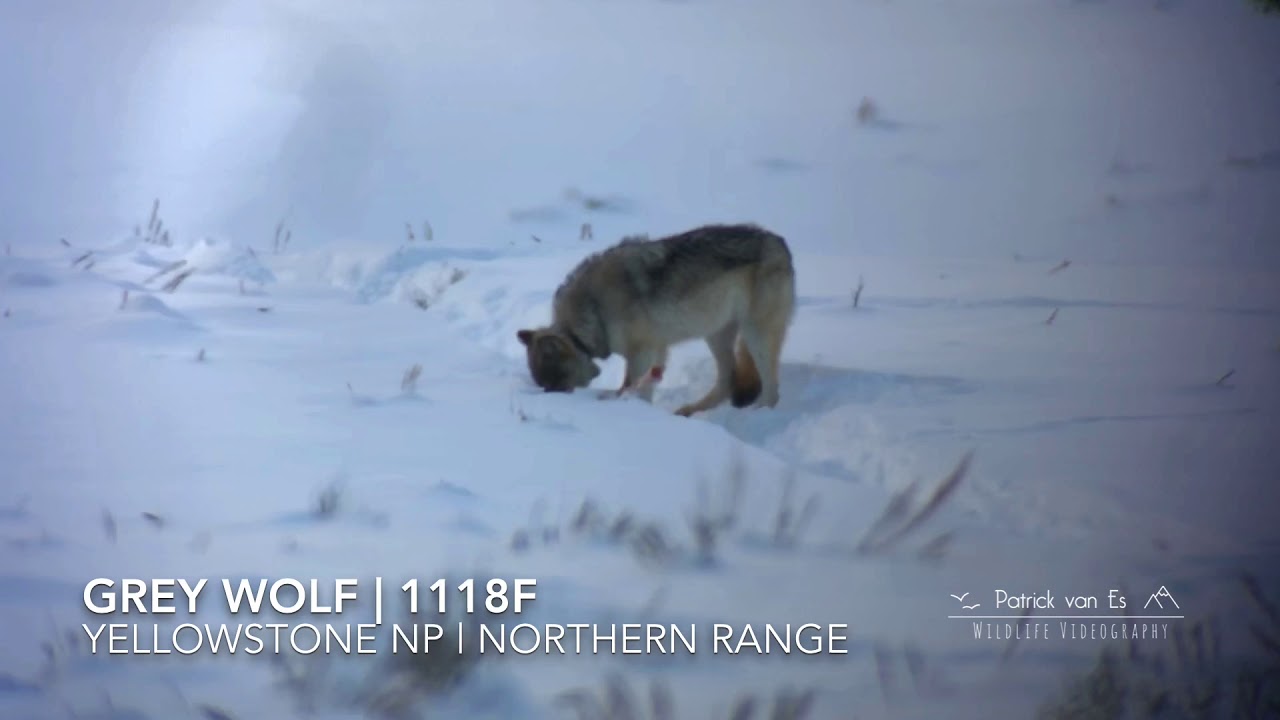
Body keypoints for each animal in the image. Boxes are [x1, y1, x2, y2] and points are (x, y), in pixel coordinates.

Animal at [516, 223, 796, 417]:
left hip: (754, 334)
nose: (551, 397)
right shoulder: (658, 351)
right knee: (729, 380)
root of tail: (781, 243)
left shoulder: (642, 353)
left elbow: (628, 385)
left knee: (771, 390)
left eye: (559, 382)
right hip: (716, 334)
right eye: (545, 384)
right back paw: (688, 412)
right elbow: (644, 389)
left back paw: (757, 415)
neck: (595, 308)